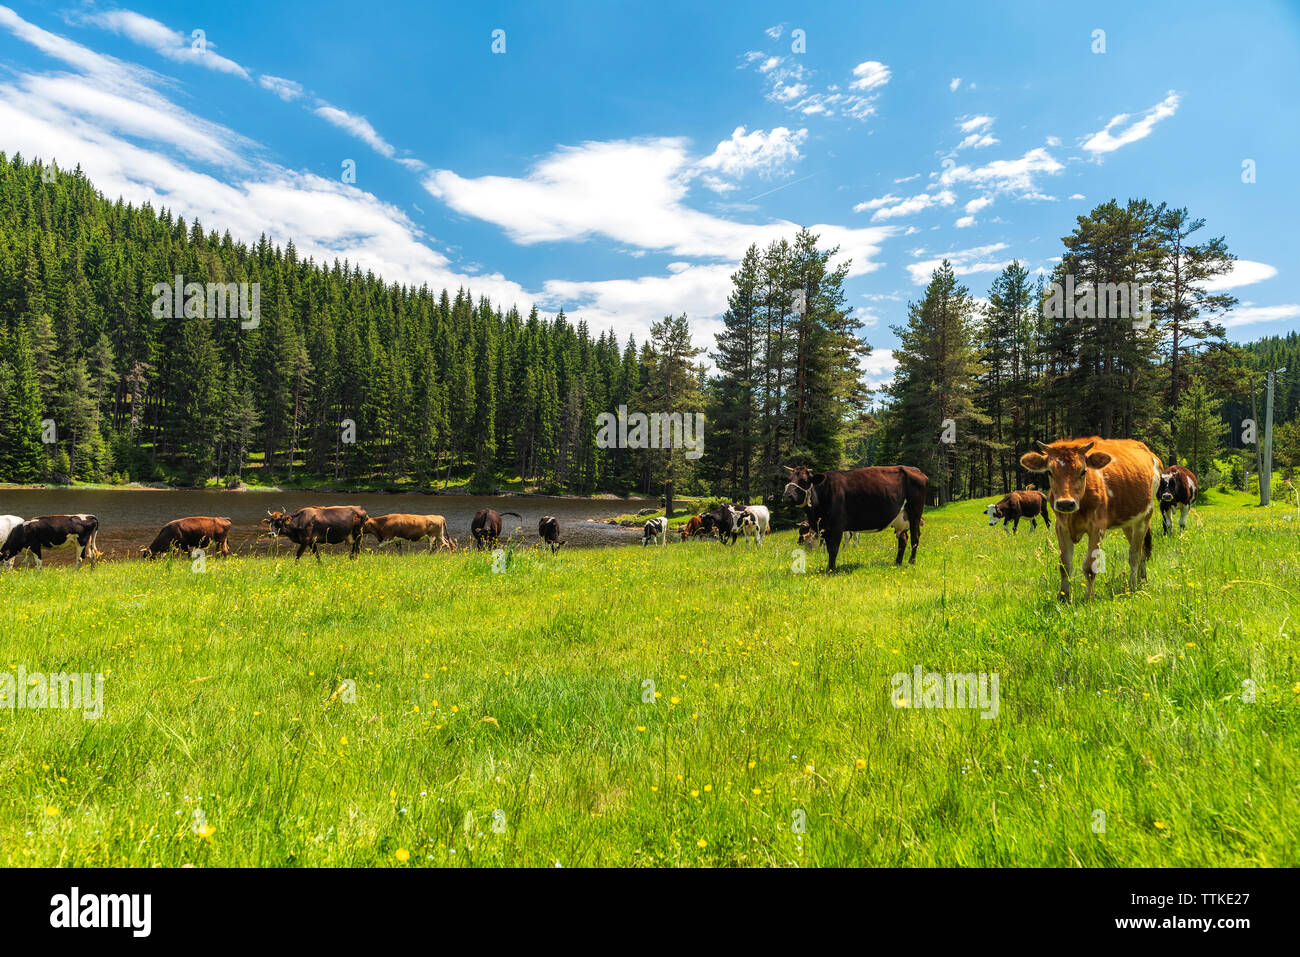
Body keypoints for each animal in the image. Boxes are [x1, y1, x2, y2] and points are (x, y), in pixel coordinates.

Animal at [782, 465, 927, 572]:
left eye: (804, 481)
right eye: (788, 479)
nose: (787, 495)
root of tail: (915, 469)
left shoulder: (837, 526)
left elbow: (833, 548)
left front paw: (831, 570)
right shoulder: (826, 528)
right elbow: (829, 548)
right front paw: (830, 568)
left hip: (915, 513)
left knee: (915, 538)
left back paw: (911, 562)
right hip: (901, 519)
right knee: (903, 539)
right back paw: (897, 563)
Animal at [1019, 437, 1161, 602]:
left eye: (1083, 471)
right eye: (1049, 471)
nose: (1065, 503)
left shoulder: (1097, 528)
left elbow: (1089, 567)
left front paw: (1088, 599)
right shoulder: (1061, 527)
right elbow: (1065, 565)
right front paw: (1063, 597)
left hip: (1144, 517)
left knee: (1135, 554)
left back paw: (1132, 586)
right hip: (1128, 521)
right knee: (1142, 550)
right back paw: (1141, 580)